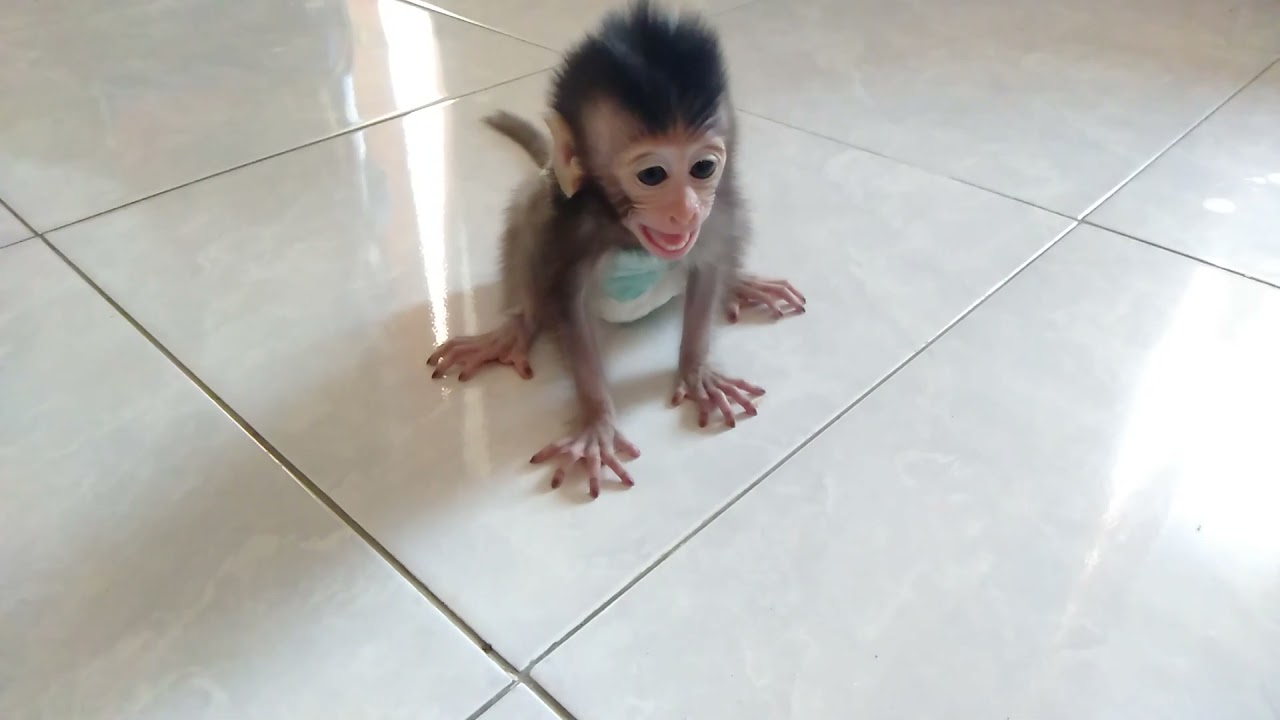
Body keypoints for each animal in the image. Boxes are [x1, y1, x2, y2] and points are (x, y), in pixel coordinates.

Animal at [427, 1, 806, 498]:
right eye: (653, 176)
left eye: (703, 167)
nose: (685, 211)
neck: (624, 232)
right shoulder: (572, 225)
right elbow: (568, 304)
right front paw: (596, 421)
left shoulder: (715, 213)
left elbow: (708, 268)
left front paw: (697, 370)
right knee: (530, 208)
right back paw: (516, 328)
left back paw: (740, 282)